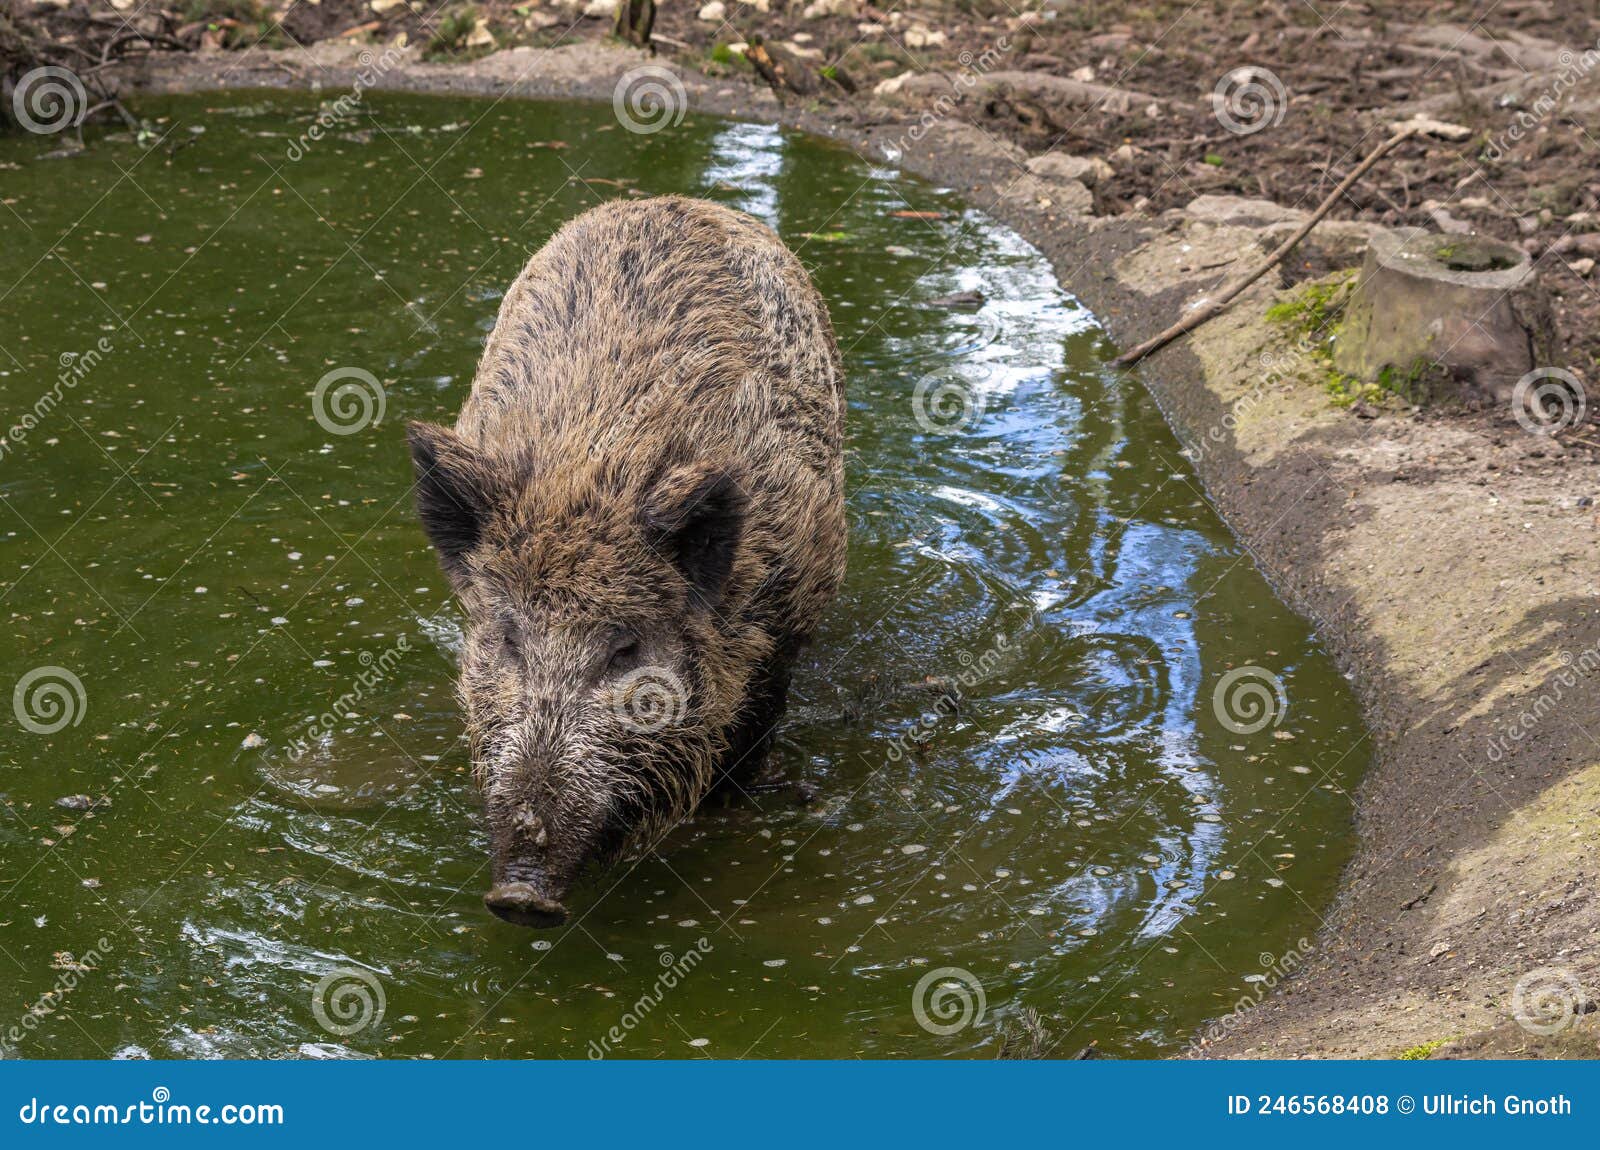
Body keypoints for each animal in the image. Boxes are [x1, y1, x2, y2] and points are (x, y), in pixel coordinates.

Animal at [406, 196, 846, 927]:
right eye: (508, 639)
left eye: (626, 649)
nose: (520, 897)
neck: (591, 468)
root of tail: (678, 200)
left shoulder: (788, 624)